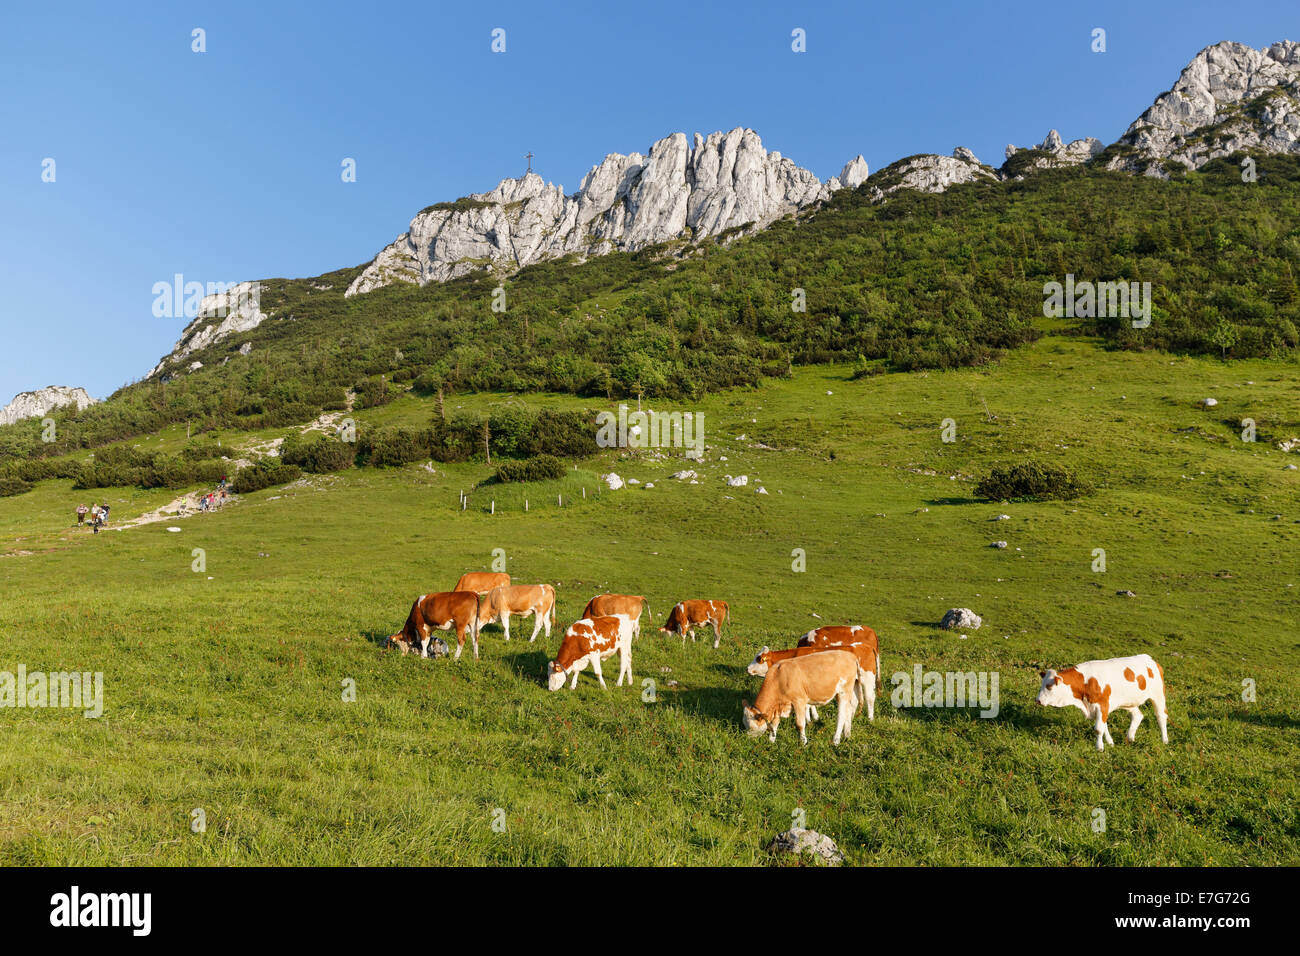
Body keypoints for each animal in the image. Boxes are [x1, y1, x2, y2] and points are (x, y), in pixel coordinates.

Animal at [748, 641, 878, 720]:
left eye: (759, 659)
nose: (747, 668)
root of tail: (865, 645)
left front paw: (809, 719)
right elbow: (810, 704)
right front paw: (814, 717)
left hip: (867, 679)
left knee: (870, 697)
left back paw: (870, 718)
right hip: (854, 681)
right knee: (854, 700)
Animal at [1036, 654, 1169, 752]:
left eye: (1049, 686)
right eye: (1042, 684)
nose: (1038, 700)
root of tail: (1150, 659)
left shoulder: (1102, 705)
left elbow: (1099, 728)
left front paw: (1099, 747)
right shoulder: (1097, 707)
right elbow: (1103, 727)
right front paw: (1110, 743)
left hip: (1158, 695)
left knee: (1161, 717)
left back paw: (1165, 740)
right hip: (1129, 702)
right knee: (1138, 715)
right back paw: (1130, 737)